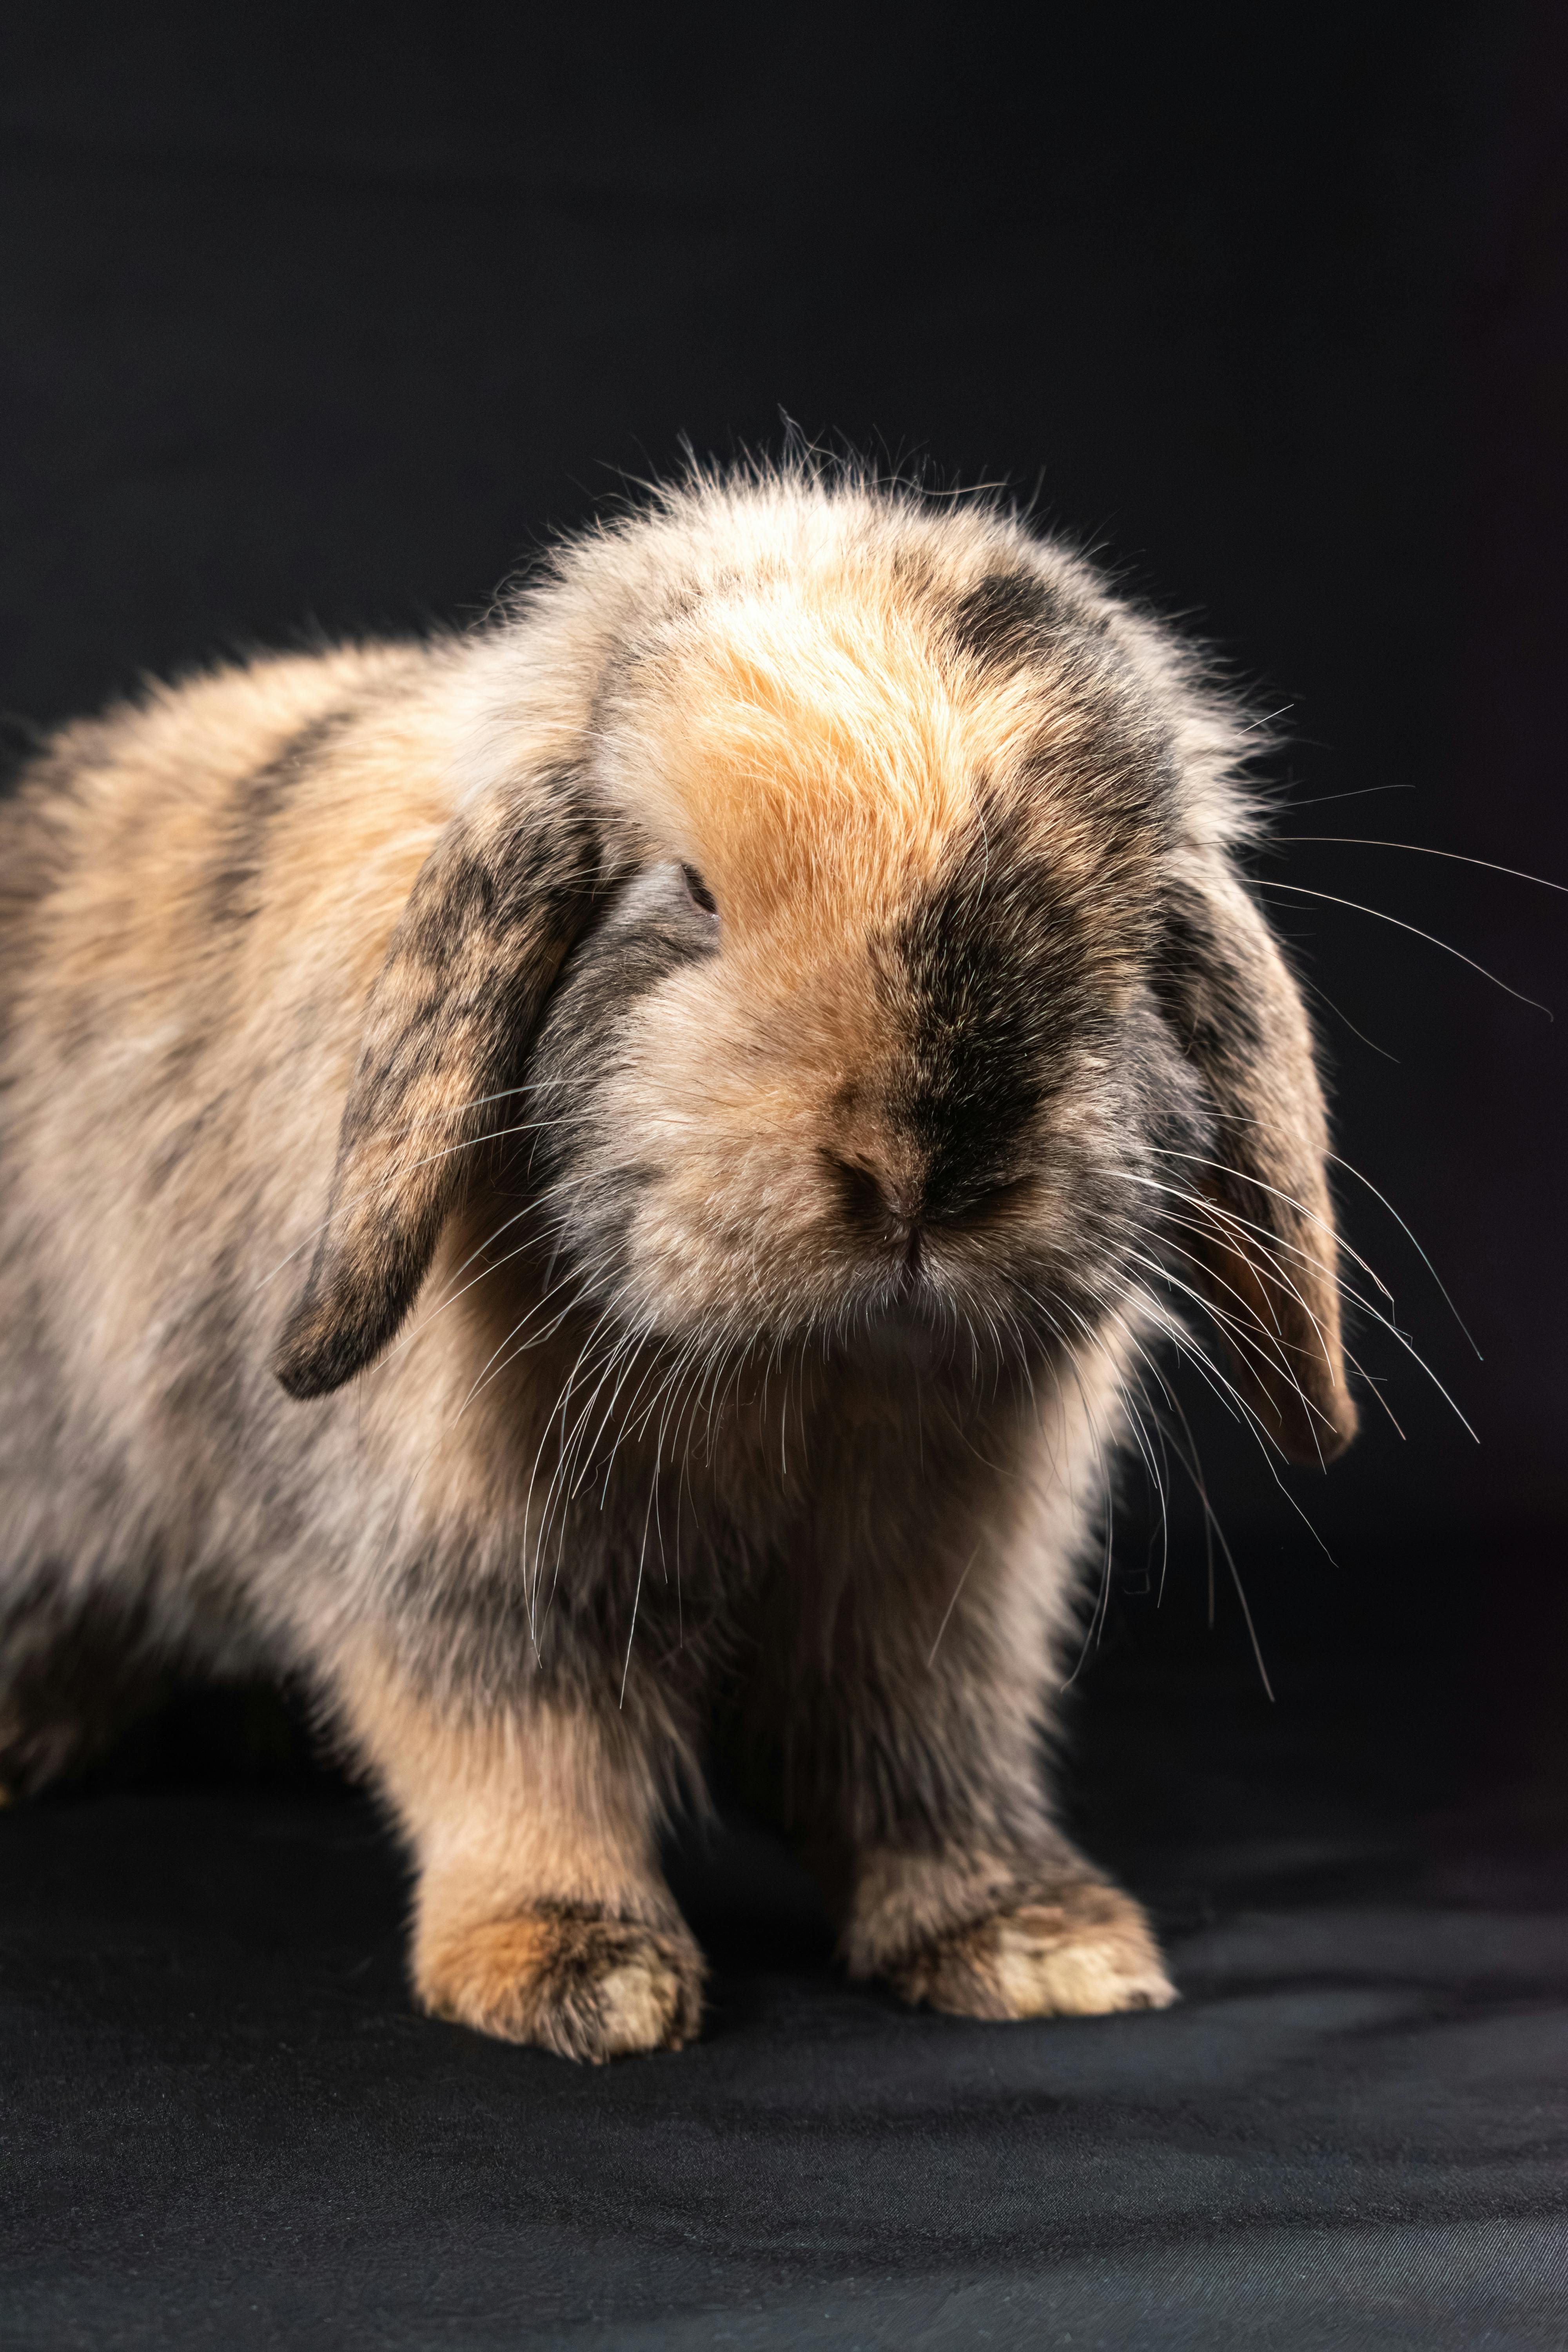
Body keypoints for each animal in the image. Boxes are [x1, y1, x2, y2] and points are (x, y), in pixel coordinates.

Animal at [0, 462, 1356, 2059]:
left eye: (1129, 917)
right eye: (689, 895)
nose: (925, 1168)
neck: (804, 1377)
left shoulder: (934, 1598)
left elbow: (922, 1763)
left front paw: (1035, 1941)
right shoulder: (465, 1573)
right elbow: (525, 1760)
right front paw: (576, 1974)